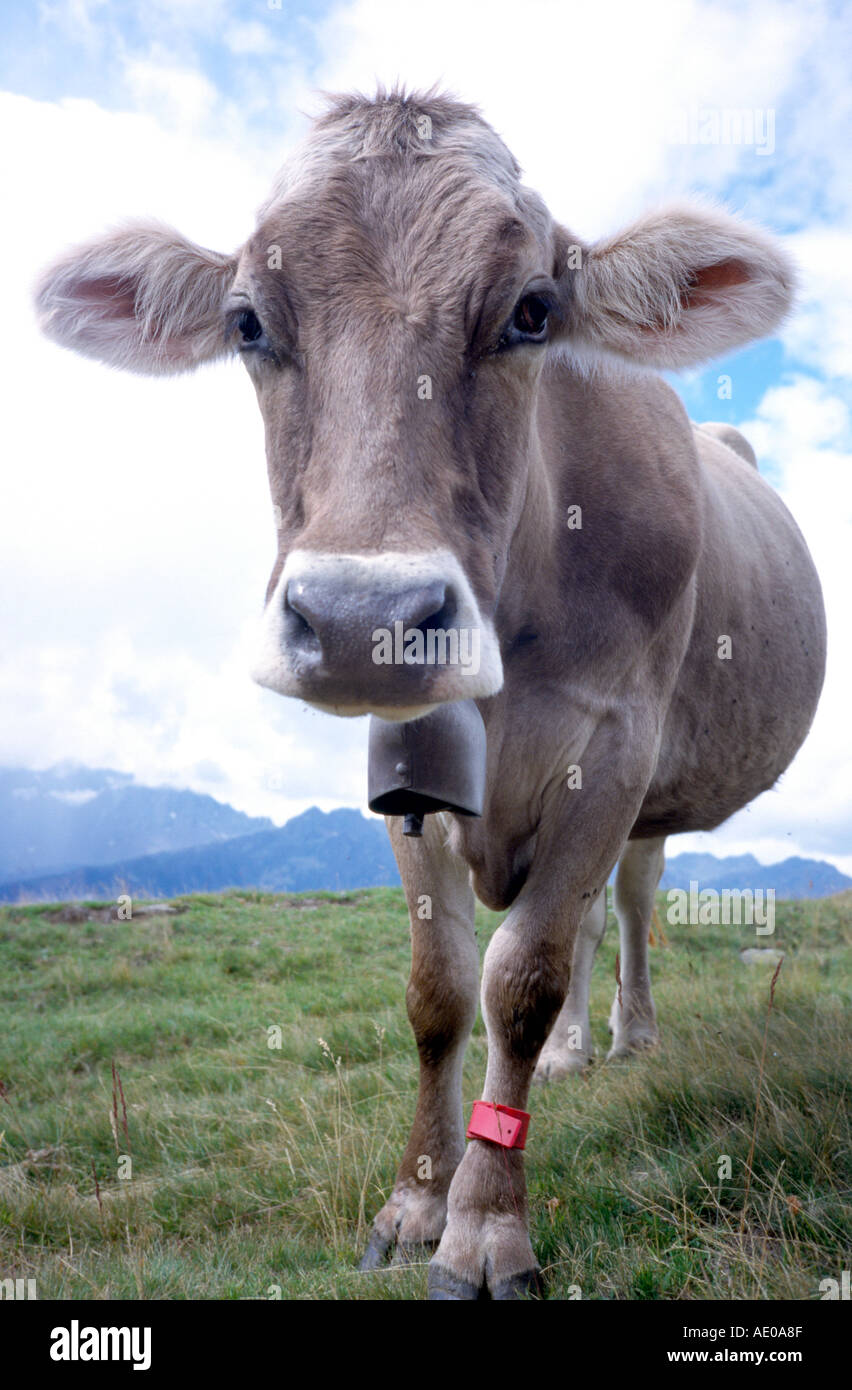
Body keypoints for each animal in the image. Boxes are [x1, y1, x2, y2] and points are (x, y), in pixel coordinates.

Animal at [34, 87, 826, 1299]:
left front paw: (485, 1226)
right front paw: (414, 1201)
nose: (362, 617)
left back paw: (629, 1036)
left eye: (534, 310)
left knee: (626, 903)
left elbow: (523, 974)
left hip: (652, 779)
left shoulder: (617, 744)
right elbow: (442, 987)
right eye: (248, 322)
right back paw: (576, 1052)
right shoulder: (403, 765)